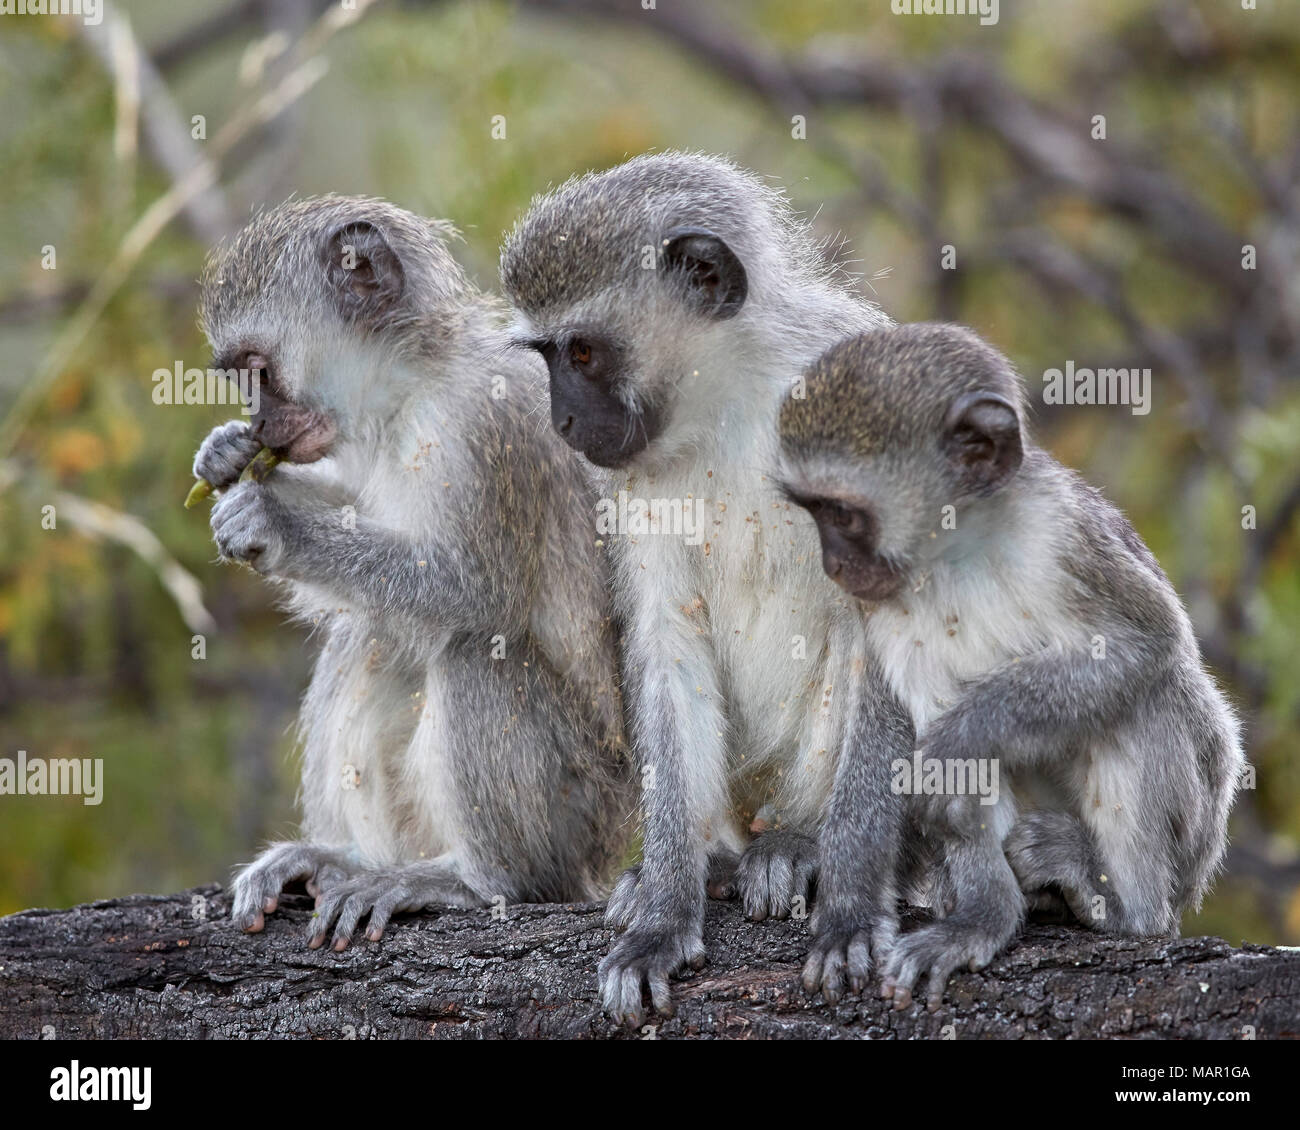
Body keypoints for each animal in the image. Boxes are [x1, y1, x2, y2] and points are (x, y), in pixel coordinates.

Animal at [193, 195, 632, 951]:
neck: (412, 389)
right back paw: (344, 857)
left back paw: (477, 881)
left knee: (475, 649)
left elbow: (471, 589)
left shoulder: (482, 428)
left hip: (580, 814)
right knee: (367, 636)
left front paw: (274, 523)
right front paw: (223, 457)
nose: (261, 426)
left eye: (259, 373)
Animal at [499, 152, 895, 1024]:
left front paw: (851, 908)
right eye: (546, 358)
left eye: (582, 355)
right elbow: (667, 641)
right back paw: (694, 866)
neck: (734, 404)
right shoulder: (636, 480)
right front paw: (664, 916)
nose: (563, 425)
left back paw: (796, 844)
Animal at [777, 322, 1244, 1009]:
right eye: (811, 511)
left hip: (1197, 837)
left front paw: (963, 737)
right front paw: (969, 918)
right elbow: (901, 718)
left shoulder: (1065, 535)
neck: (957, 548)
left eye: (840, 513)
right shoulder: (879, 597)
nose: (831, 564)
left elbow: (1144, 645)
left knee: (1151, 698)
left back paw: (1124, 906)